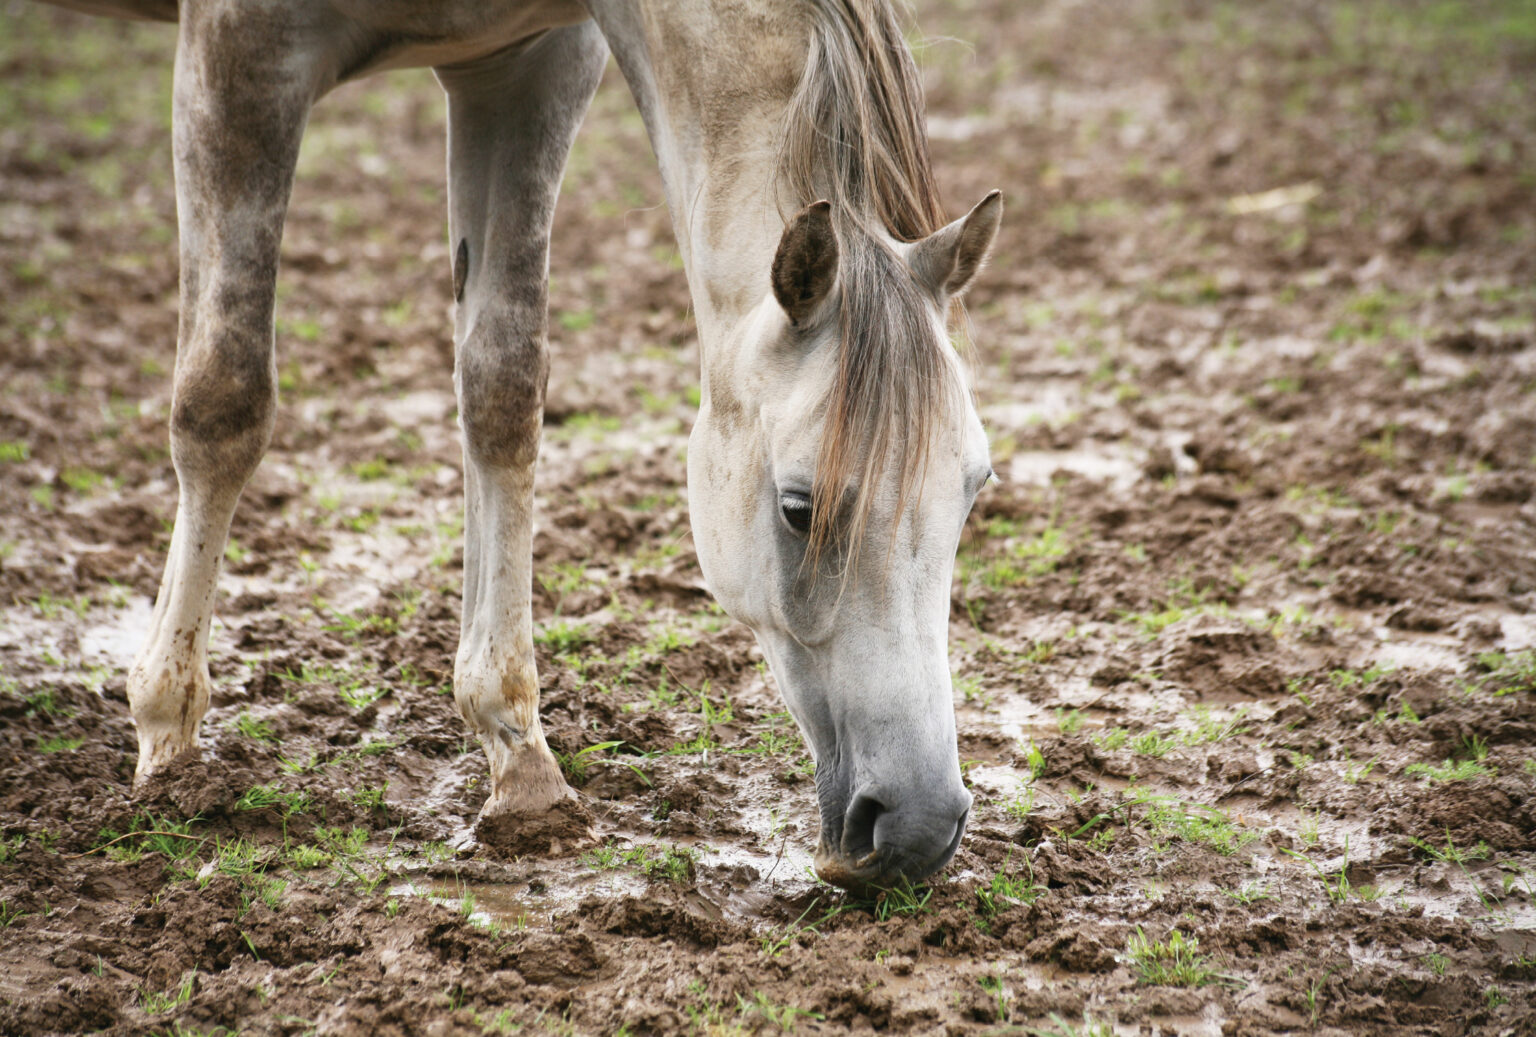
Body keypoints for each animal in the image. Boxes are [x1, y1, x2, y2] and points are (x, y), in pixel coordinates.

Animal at [36, 0, 1002, 891]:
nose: (920, 825)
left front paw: (522, 766)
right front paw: (168, 742)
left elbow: (503, 391)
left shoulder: (524, 66)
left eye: (973, 489)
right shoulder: (238, 54)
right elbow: (222, 399)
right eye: (800, 508)